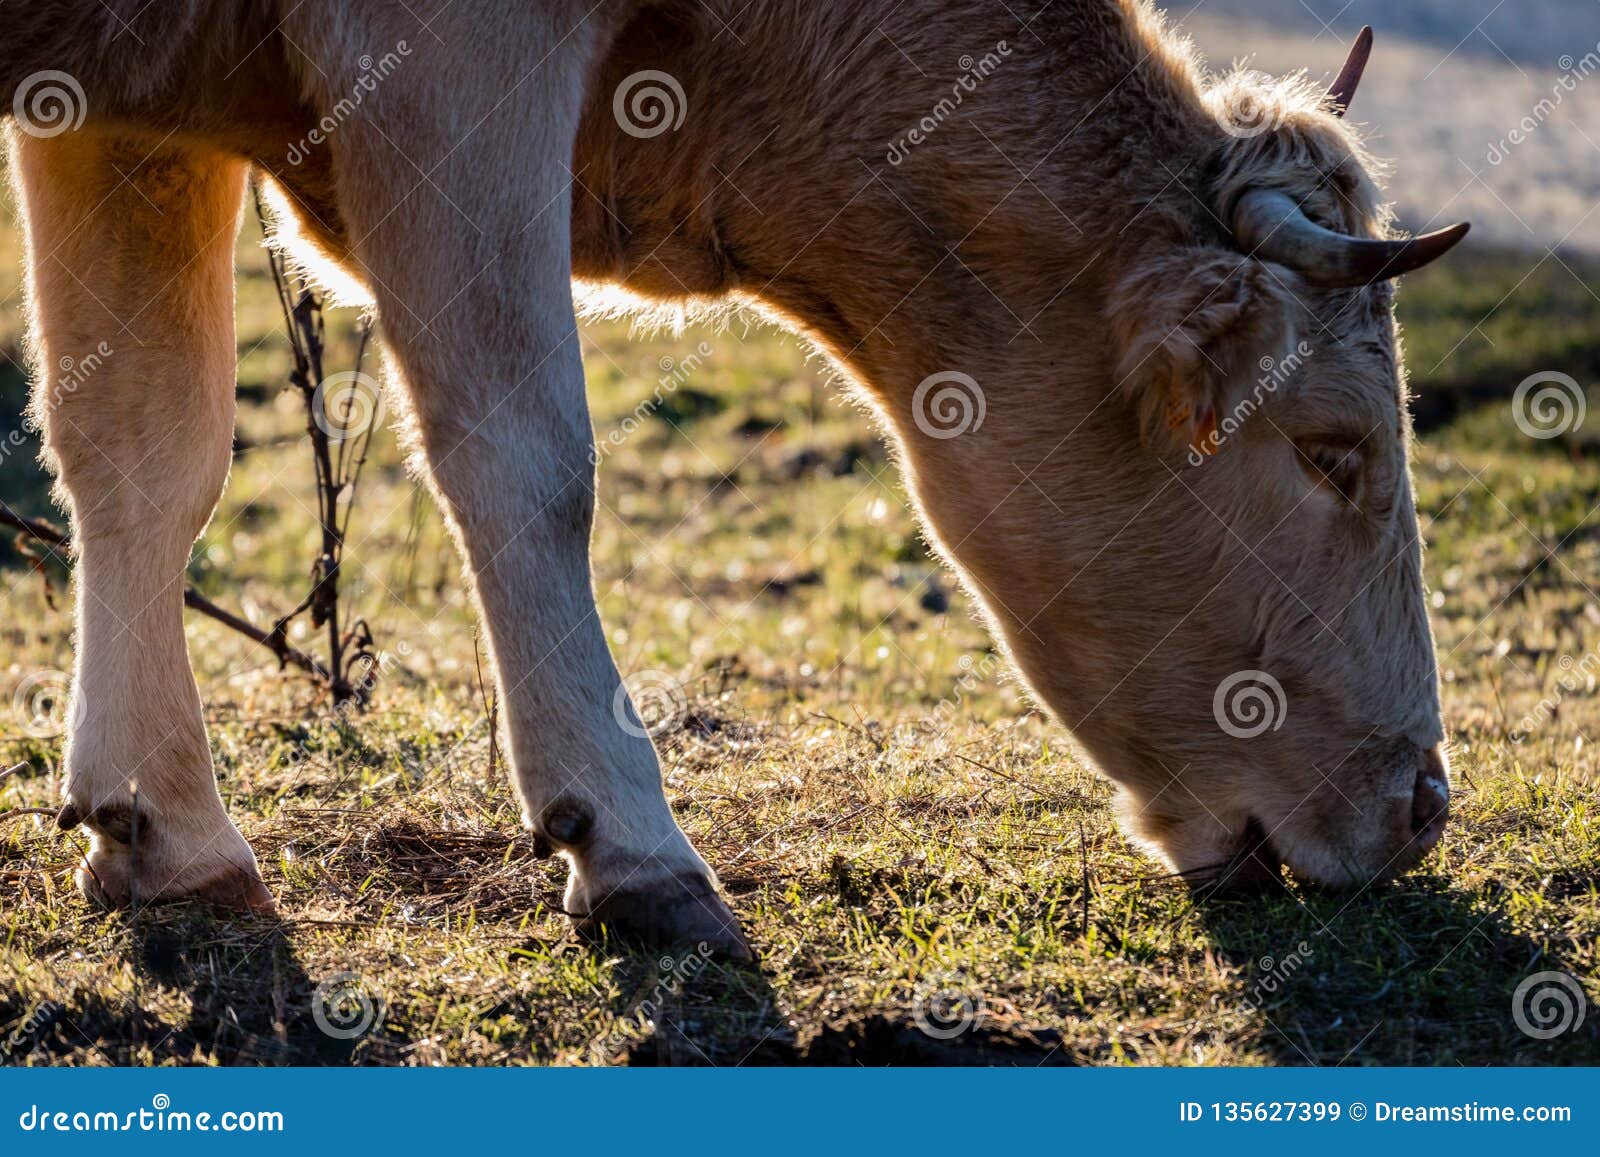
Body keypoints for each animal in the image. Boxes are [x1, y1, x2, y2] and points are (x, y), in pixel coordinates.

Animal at [3, 1, 1466, 957]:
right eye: (1333, 450)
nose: (1425, 804)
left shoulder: (126, 112)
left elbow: (143, 447)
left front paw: (161, 829)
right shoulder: (454, 61)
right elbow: (525, 451)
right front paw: (628, 845)